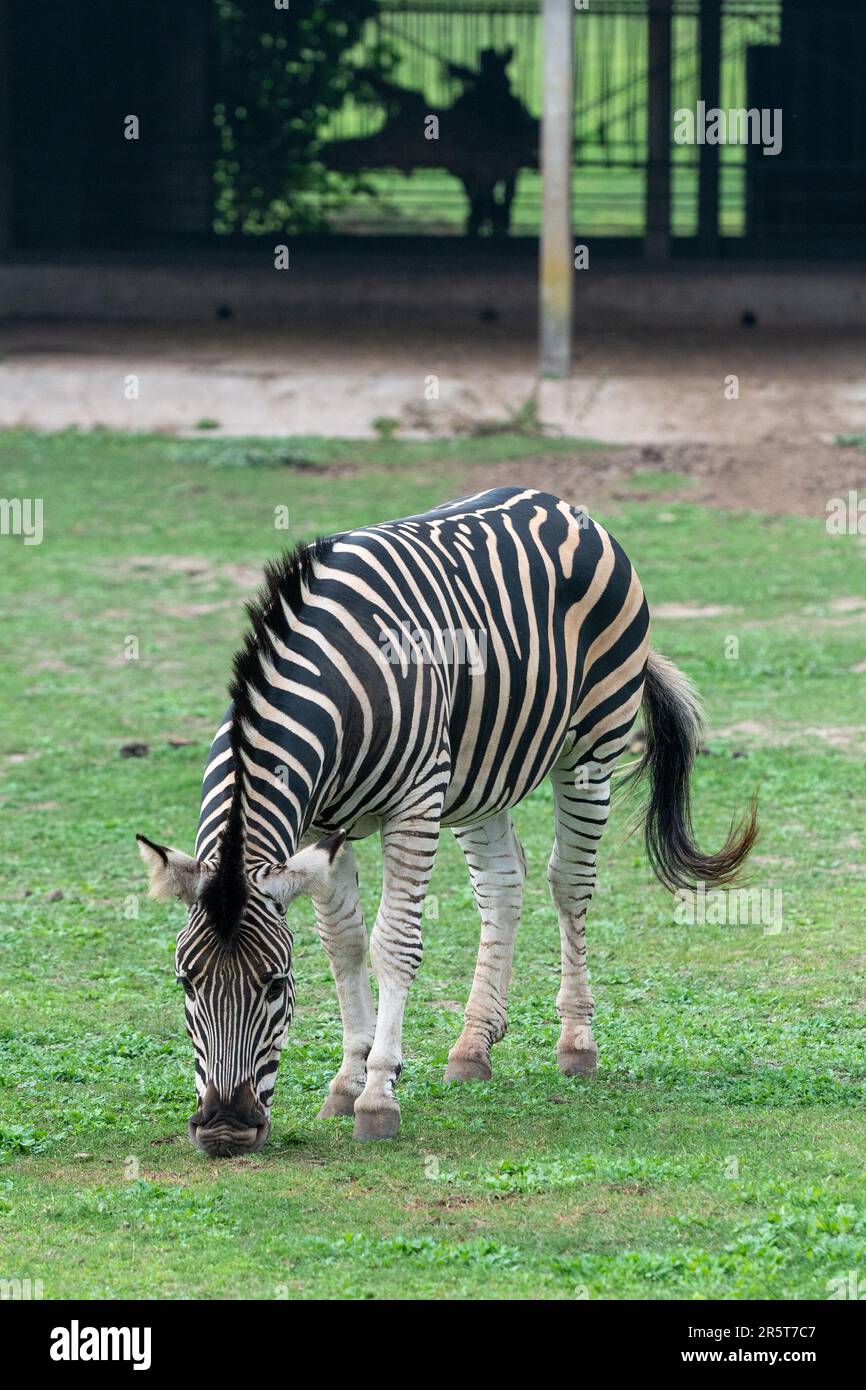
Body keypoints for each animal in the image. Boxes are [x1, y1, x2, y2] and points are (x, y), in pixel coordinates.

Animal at [137, 486, 756, 1153]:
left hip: (593, 742)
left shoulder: (412, 803)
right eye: (186, 983)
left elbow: (394, 943)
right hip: (480, 774)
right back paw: (472, 1047)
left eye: (276, 983)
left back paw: (576, 1042)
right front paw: (346, 1082)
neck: (338, 683)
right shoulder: (320, 827)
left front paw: (378, 1095)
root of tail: (559, 503)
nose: (226, 1130)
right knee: (504, 885)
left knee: (569, 882)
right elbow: (343, 942)